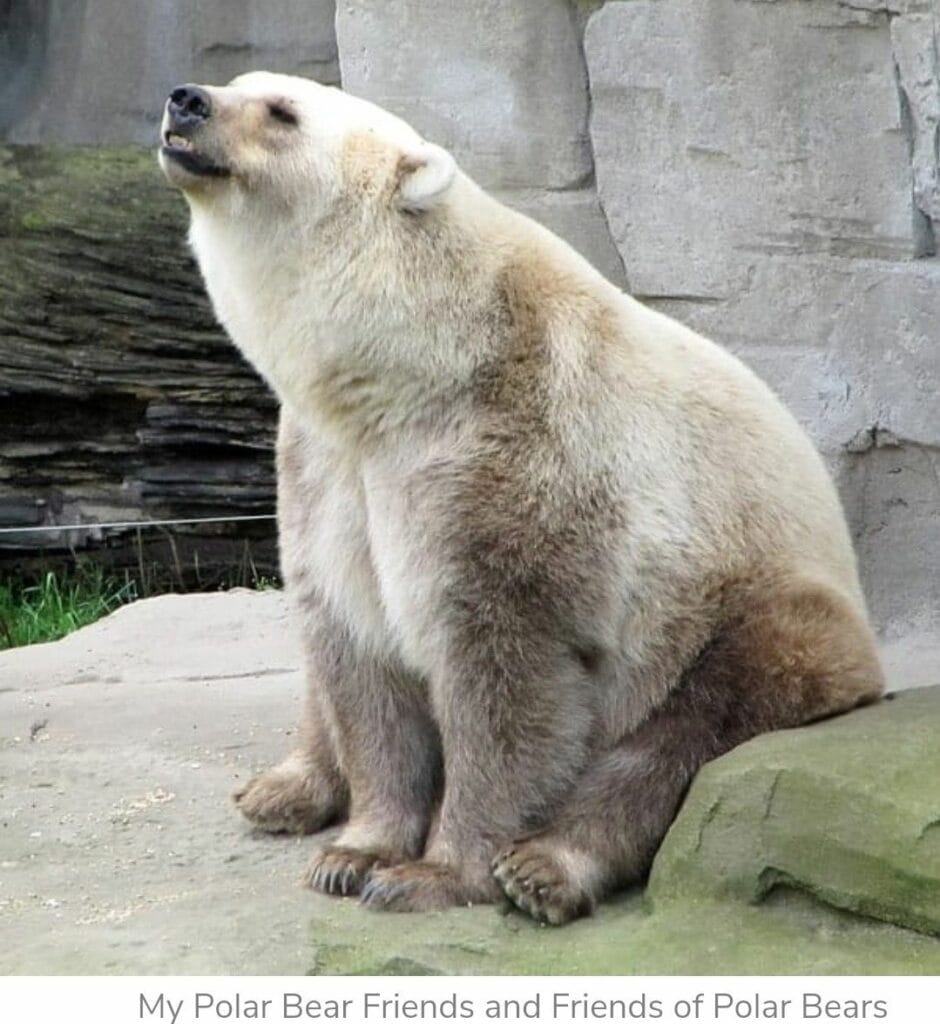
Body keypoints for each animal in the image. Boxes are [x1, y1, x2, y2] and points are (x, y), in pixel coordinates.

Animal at [159, 71, 884, 925]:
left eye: (282, 112)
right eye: (242, 86)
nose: (187, 100)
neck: (411, 371)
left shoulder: (515, 453)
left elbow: (505, 674)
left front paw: (431, 874)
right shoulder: (329, 469)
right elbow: (355, 649)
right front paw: (354, 853)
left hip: (747, 613)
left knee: (693, 725)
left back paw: (547, 867)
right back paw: (284, 788)